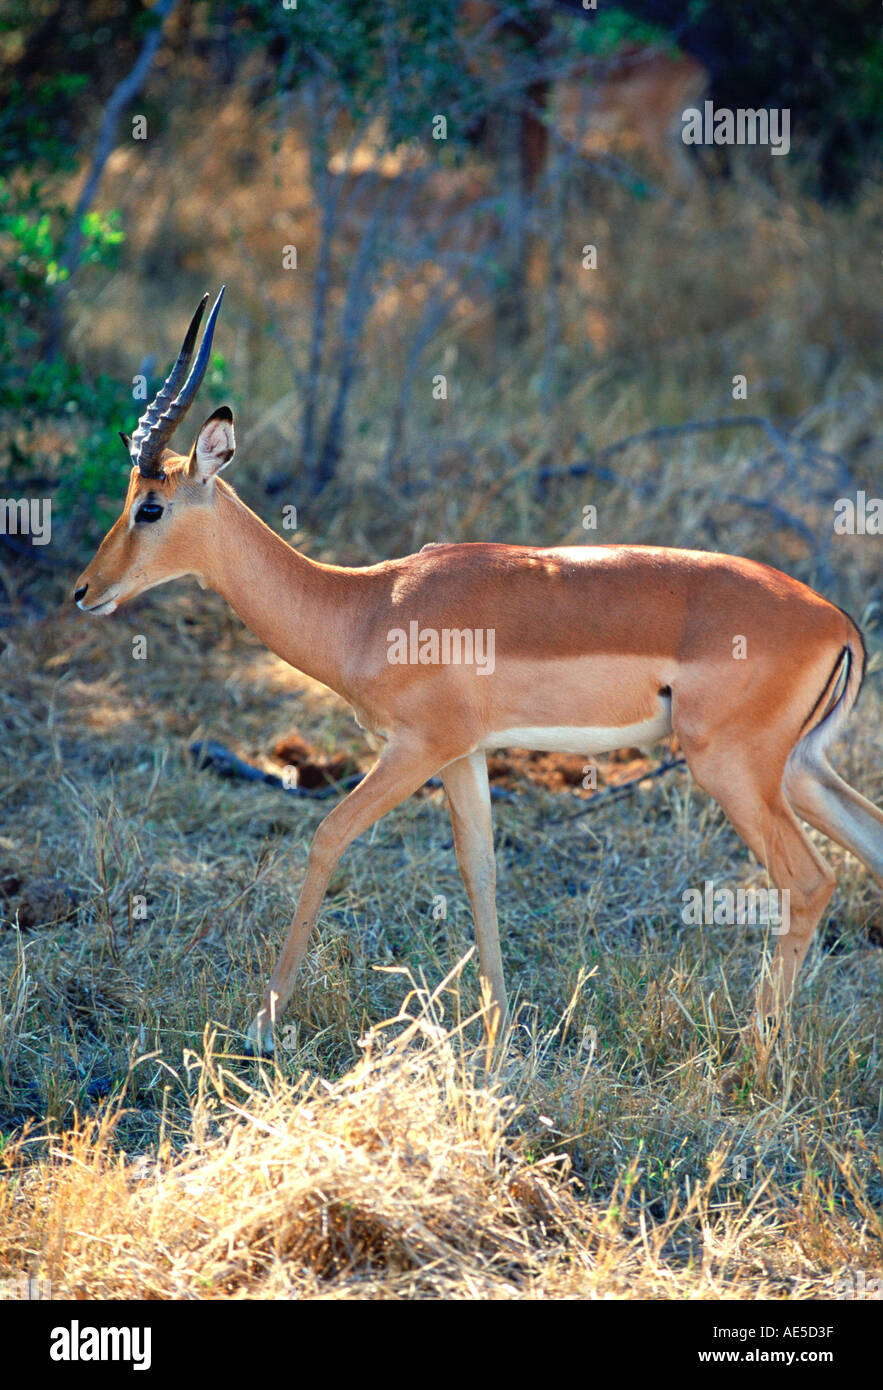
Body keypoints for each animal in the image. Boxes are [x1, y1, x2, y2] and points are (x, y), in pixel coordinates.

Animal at [74, 291, 883, 1055]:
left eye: (151, 507)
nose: (85, 591)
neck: (365, 607)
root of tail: (837, 623)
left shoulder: (416, 749)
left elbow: (327, 837)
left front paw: (262, 1031)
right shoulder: (465, 756)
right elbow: (481, 873)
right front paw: (497, 1041)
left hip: (732, 767)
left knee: (807, 882)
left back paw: (754, 1053)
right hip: (797, 769)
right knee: (864, 845)